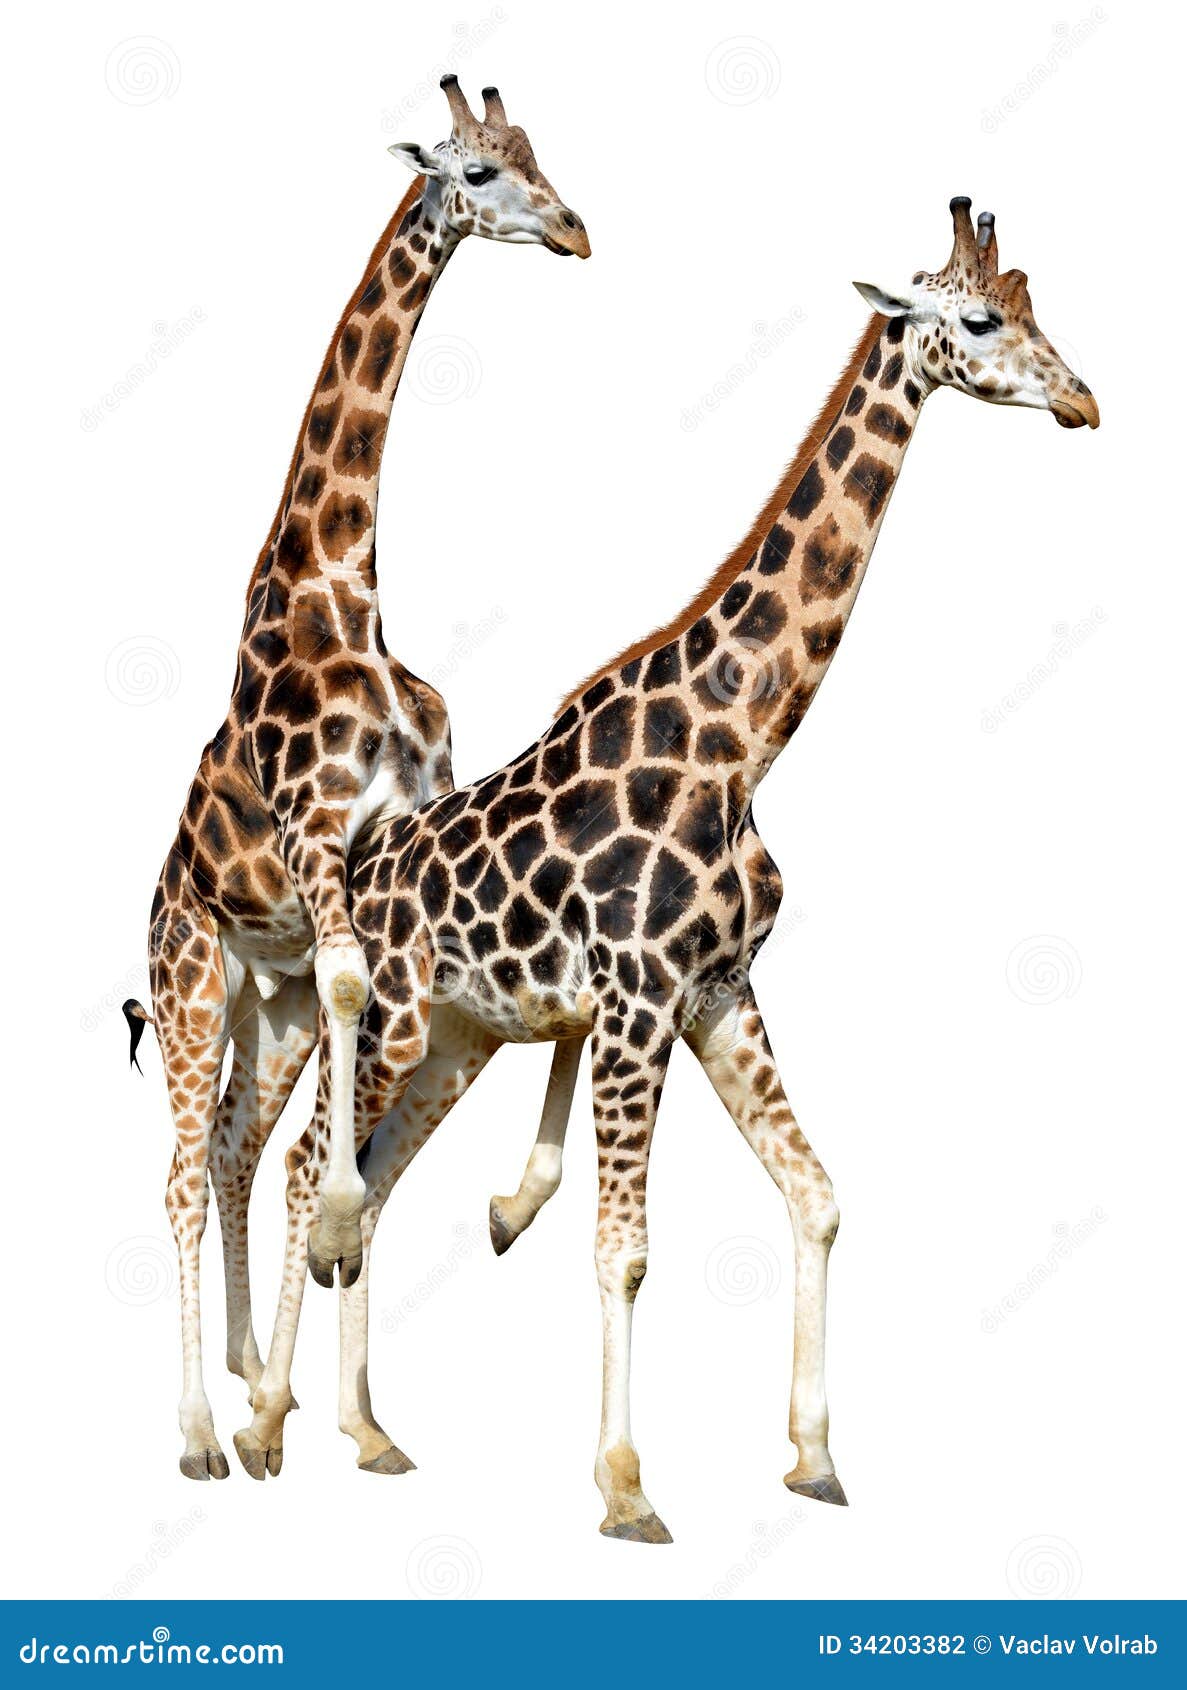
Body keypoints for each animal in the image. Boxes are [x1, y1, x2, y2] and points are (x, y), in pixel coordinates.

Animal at [124, 76, 589, 1482]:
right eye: (477, 172)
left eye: (536, 154)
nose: (572, 231)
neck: (344, 587)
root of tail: (156, 906)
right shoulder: (322, 836)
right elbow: (354, 1026)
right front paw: (329, 1254)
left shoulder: (401, 842)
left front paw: (342, 1410)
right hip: (193, 985)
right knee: (178, 1168)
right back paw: (199, 1432)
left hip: (260, 1008)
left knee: (231, 1144)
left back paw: (248, 1386)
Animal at [240, 198, 1098, 1532]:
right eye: (972, 321)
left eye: (1032, 310)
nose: (1081, 400)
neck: (739, 741)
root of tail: (357, 876)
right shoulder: (640, 1001)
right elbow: (624, 1247)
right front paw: (626, 1485)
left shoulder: (719, 992)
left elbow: (818, 1194)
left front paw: (814, 1457)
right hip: (388, 1021)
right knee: (302, 1176)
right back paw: (265, 1424)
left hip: (454, 1039)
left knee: (368, 1190)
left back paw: (365, 1431)